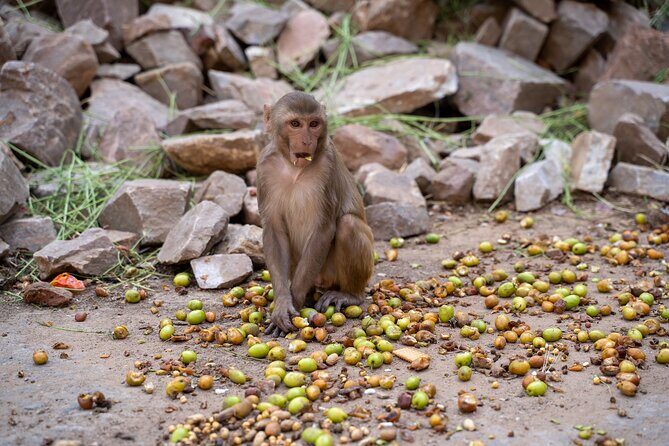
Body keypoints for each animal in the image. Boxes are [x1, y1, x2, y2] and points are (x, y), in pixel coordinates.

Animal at [256, 92, 375, 336]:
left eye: (313, 124)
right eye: (295, 124)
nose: (307, 141)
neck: (295, 169)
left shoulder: (327, 167)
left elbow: (324, 229)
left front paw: (293, 302)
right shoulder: (264, 168)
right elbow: (274, 231)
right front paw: (283, 303)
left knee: (348, 224)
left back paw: (349, 295)